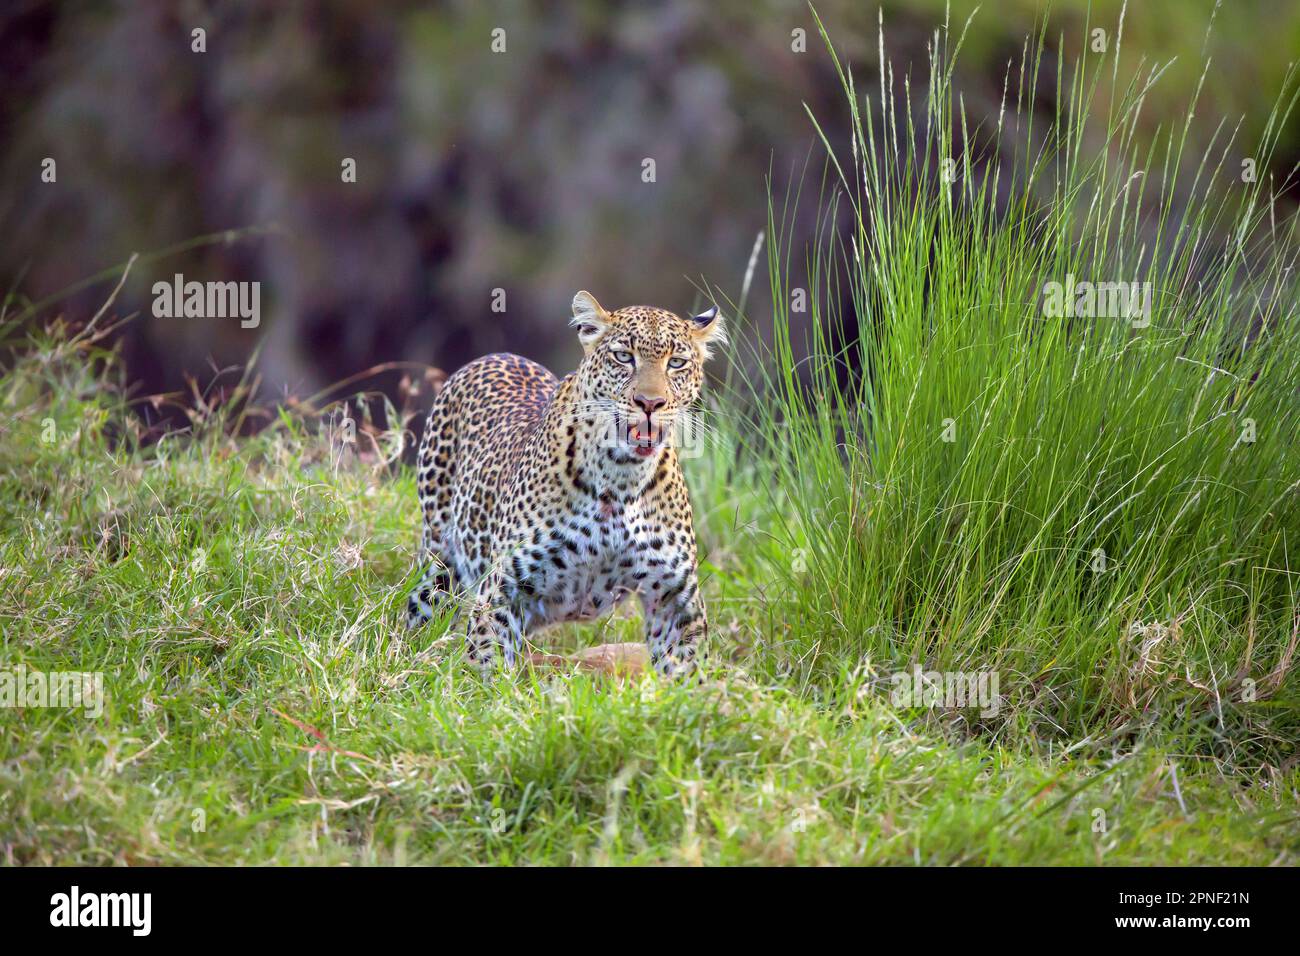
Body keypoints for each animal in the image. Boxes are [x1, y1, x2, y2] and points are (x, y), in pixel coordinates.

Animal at [405, 290, 725, 678]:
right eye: (623, 356)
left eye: (676, 363)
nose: (650, 403)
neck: (622, 479)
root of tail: (496, 355)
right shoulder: (504, 589)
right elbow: (487, 668)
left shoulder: (675, 598)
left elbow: (686, 674)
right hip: (439, 556)